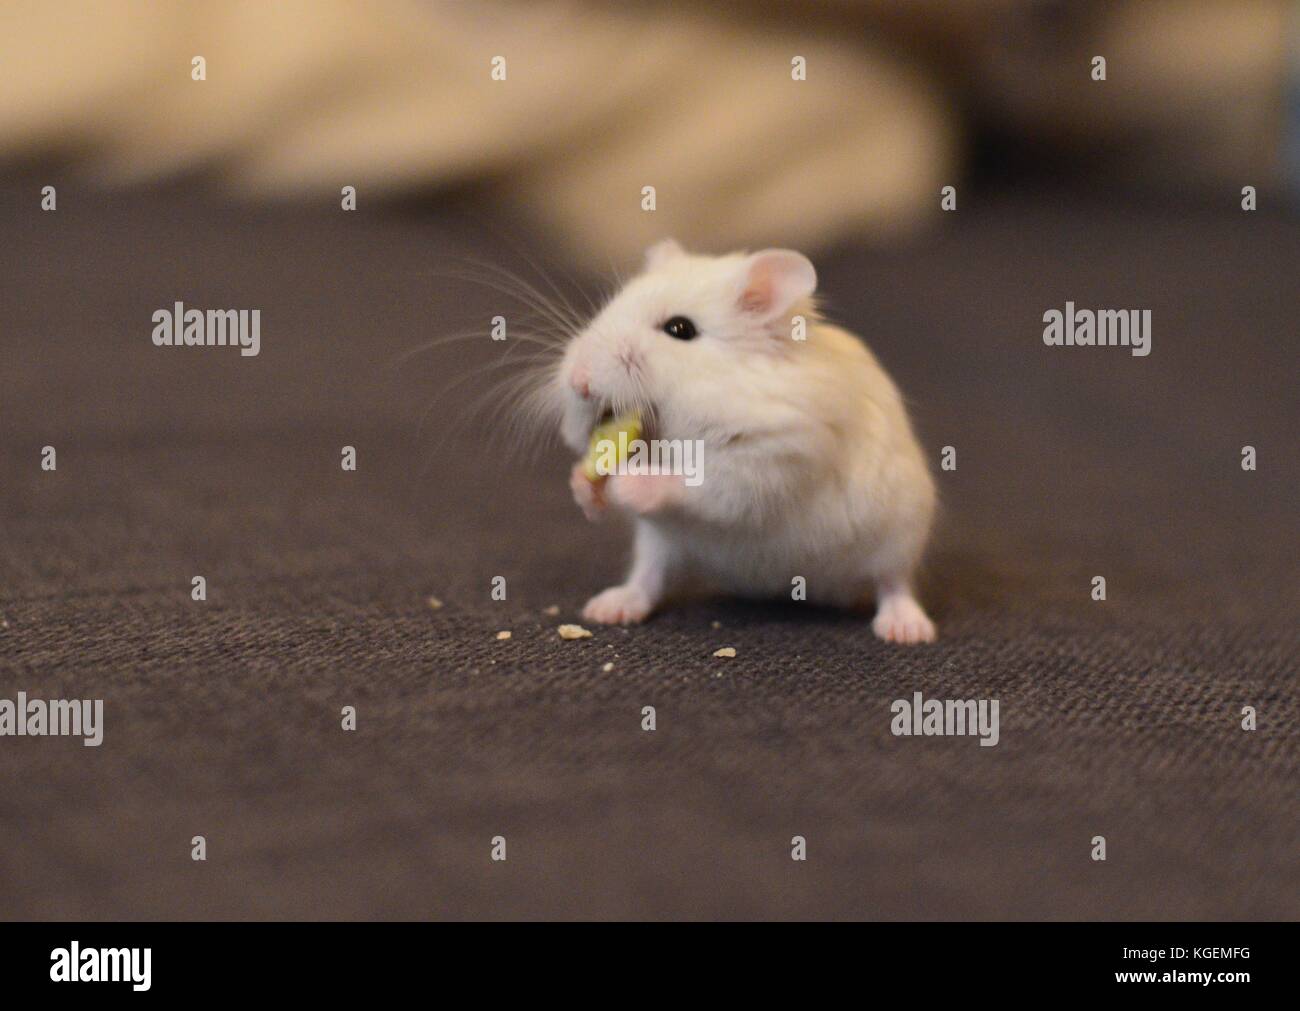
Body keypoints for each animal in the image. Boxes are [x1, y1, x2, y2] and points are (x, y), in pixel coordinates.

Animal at [555, 239, 937, 643]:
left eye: (680, 328)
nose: (578, 380)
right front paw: (585, 487)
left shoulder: (770, 459)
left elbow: (702, 484)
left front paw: (627, 485)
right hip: (659, 541)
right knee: (648, 577)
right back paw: (606, 608)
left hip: (901, 536)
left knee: (894, 582)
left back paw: (907, 630)